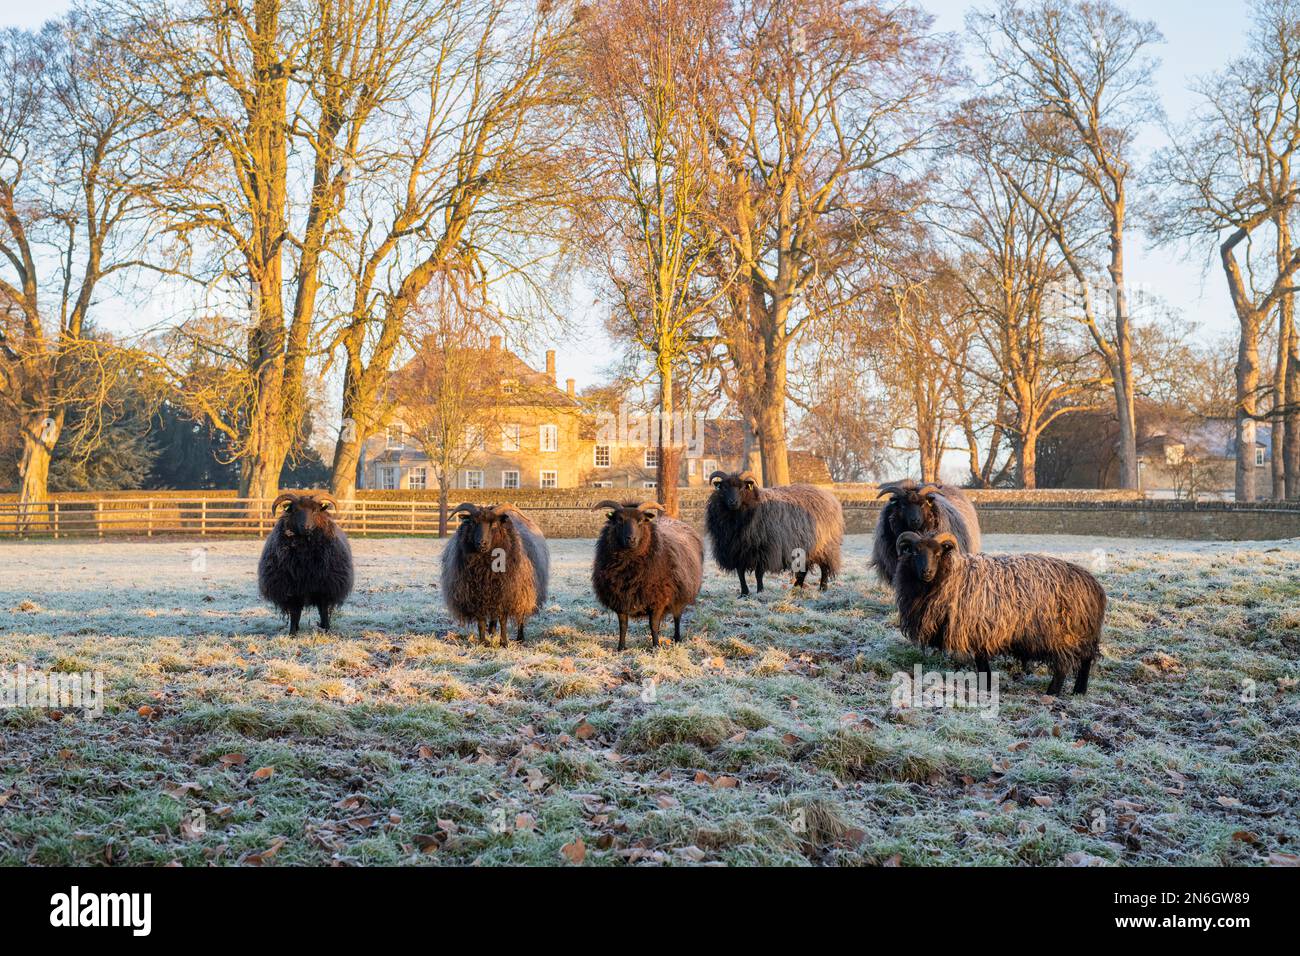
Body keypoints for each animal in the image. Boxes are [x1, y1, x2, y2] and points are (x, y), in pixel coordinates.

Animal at [258, 492, 354, 634]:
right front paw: (292, 633)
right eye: (295, 510)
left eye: (315, 511)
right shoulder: (292, 590)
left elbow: (324, 611)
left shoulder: (324, 588)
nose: (306, 527)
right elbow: (294, 614)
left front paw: (327, 630)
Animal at [440, 503, 550, 648]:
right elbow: (481, 621)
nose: (482, 543)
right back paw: (492, 631)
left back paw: (520, 638)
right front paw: (483, 642)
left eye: (494, 525)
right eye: (473, 523)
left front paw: (504, 642)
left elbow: (503, 620)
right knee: (493, 616)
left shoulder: (506, 594)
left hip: (524, 592)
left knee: (520, 616)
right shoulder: (476, 595)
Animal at [590, 500, 703, 650]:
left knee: (677, 617)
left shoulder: (659, 599)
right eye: (619, 520)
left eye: (641, 521)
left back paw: (677, 638)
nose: (631, 539)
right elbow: (623, 626)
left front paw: (656, 647)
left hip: (680, 595)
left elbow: (653, 625)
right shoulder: (620, 598)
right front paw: (621, 648)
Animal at [705, 471, 843, 595]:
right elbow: (740, 573)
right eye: (724, 488)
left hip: (824, 546)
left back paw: (822, 588)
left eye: (742, 487)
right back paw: (796, 588)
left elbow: (758, 573)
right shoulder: (736, 551)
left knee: (824, 567)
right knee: (803, 570)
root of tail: (829, 496)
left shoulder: (764, 549)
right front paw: (744, 593)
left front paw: (760, 591)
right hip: (806, 547)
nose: (733, 502)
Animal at [892, 531, 1105, 696]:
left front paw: (985, 686)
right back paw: (1079, 691)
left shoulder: (977, 629)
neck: (951, 576)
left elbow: (981, 662)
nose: (926, 572)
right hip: (1084, 633)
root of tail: (1092, 584)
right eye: (915, 552)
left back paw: (1052, 693)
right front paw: (986, 686)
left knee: (1063, 666)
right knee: (1086, 660)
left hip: (1061, 634)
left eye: (937, 553)